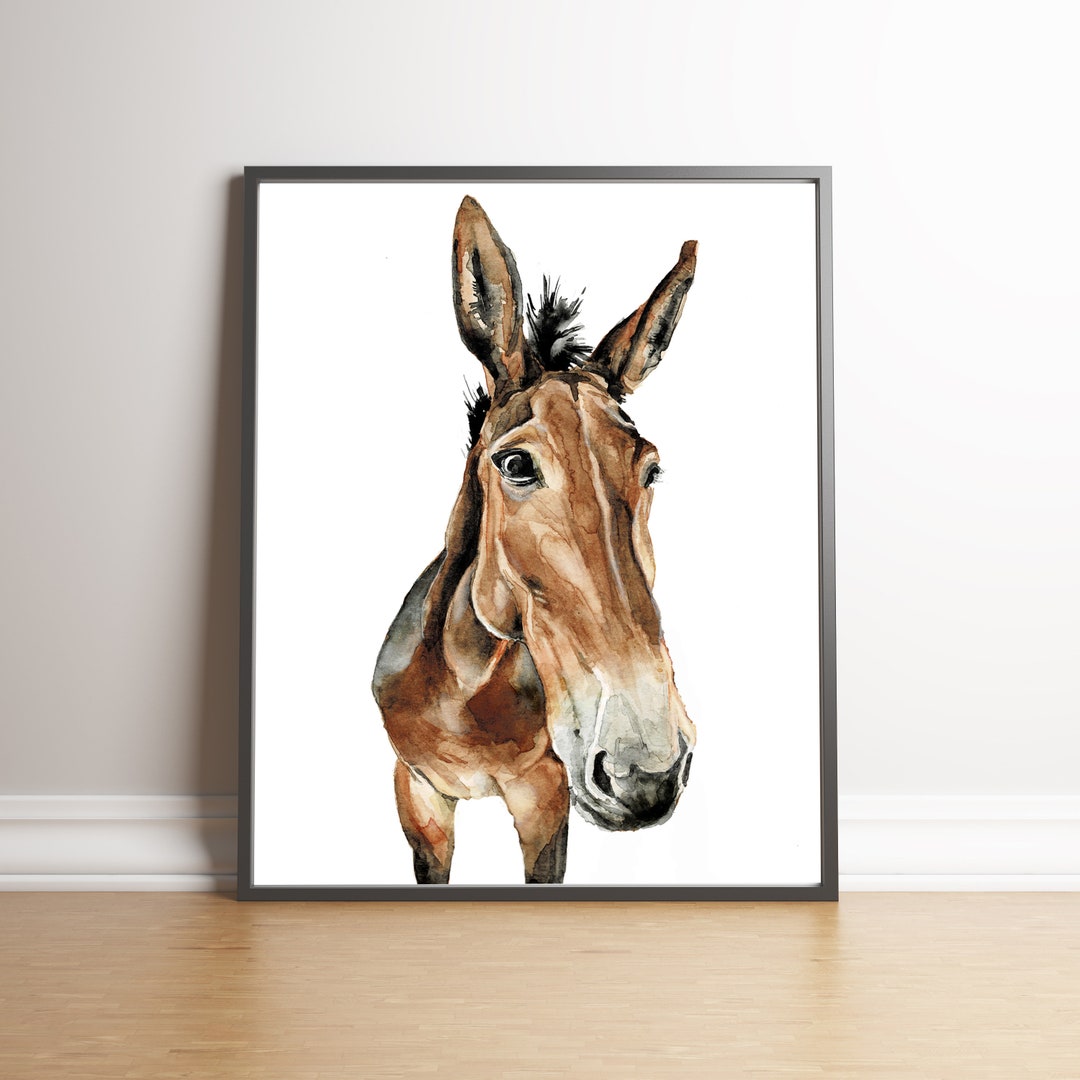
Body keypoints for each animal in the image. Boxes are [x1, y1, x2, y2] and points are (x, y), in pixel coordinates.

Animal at [372, 196, 698, 884]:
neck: (462, 691)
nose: (645, 771)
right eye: (516, 464)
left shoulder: (545, 800)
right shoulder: (416, 794)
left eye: (651, 469)